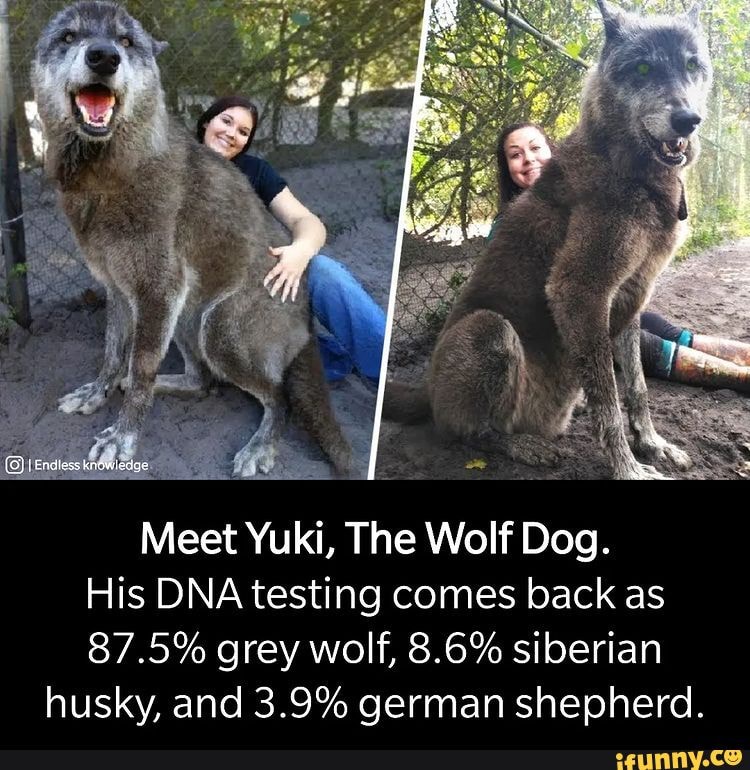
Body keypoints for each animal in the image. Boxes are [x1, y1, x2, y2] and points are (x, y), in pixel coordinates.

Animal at [32, 0, 351, 478]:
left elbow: (140, 368)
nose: (104, 57)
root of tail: (308, 322)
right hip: (186, 317)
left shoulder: (157, 291)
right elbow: (113, 354)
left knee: (279, 398)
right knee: (203, 383)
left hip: (217, 328)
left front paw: (122, 439)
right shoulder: (120, 291)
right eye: (68, 36)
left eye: (126, 41)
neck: (108, 176)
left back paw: (259, 447)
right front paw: (97, 392)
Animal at [384, 1, 712, 480]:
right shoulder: (580, 292)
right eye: (643, 68)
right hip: (487, 328)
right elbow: (609, 401)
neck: (626, 165)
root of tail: (425, 390)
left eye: (692, 65)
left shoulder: (631, 296)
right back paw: (526, 448)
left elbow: (635, 387)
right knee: (472, 433)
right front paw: (628, 468)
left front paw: (653, 445)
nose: (688, 119)